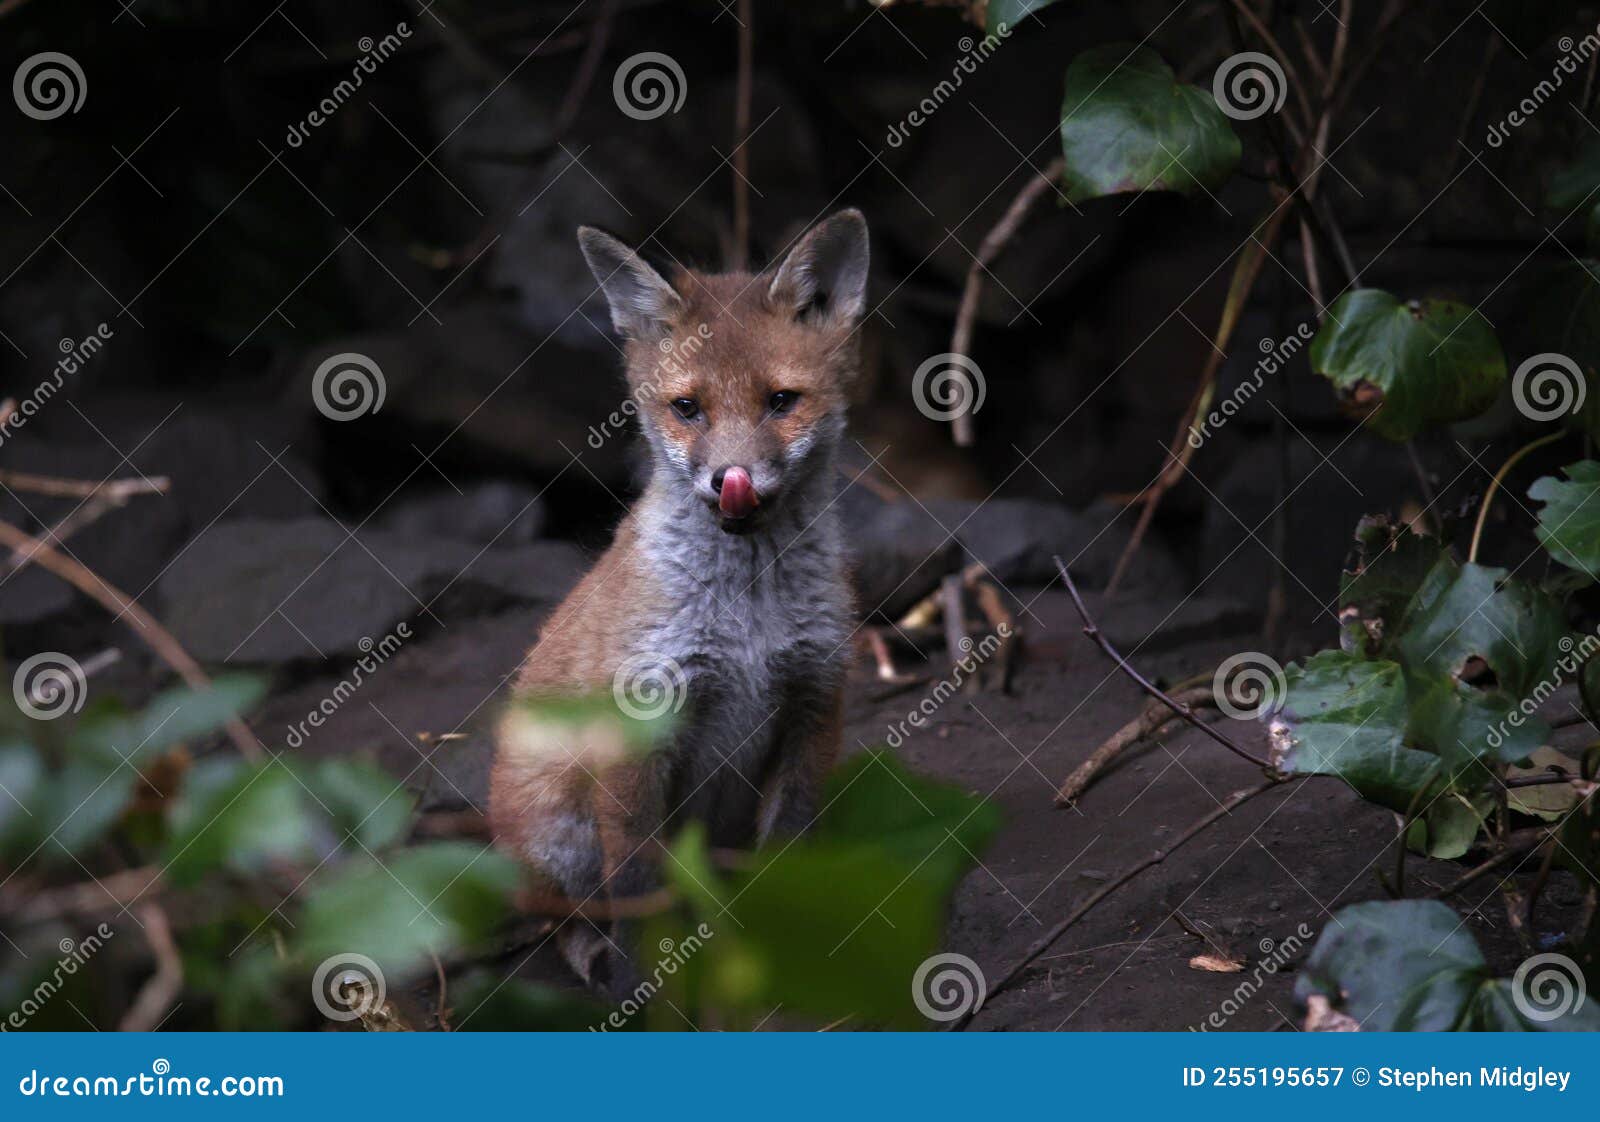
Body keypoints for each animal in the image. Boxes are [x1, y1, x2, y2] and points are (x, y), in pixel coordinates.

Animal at [488, 209, 870, 990]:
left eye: (781, 402)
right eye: (687, 408)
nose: (733, 480)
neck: (750, 623)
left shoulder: (816, 697)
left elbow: (791, 849)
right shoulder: (637, 724)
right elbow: (637, 883)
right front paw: (641, 986)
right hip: (558, 830)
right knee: (567, 916)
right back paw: (594, 954)